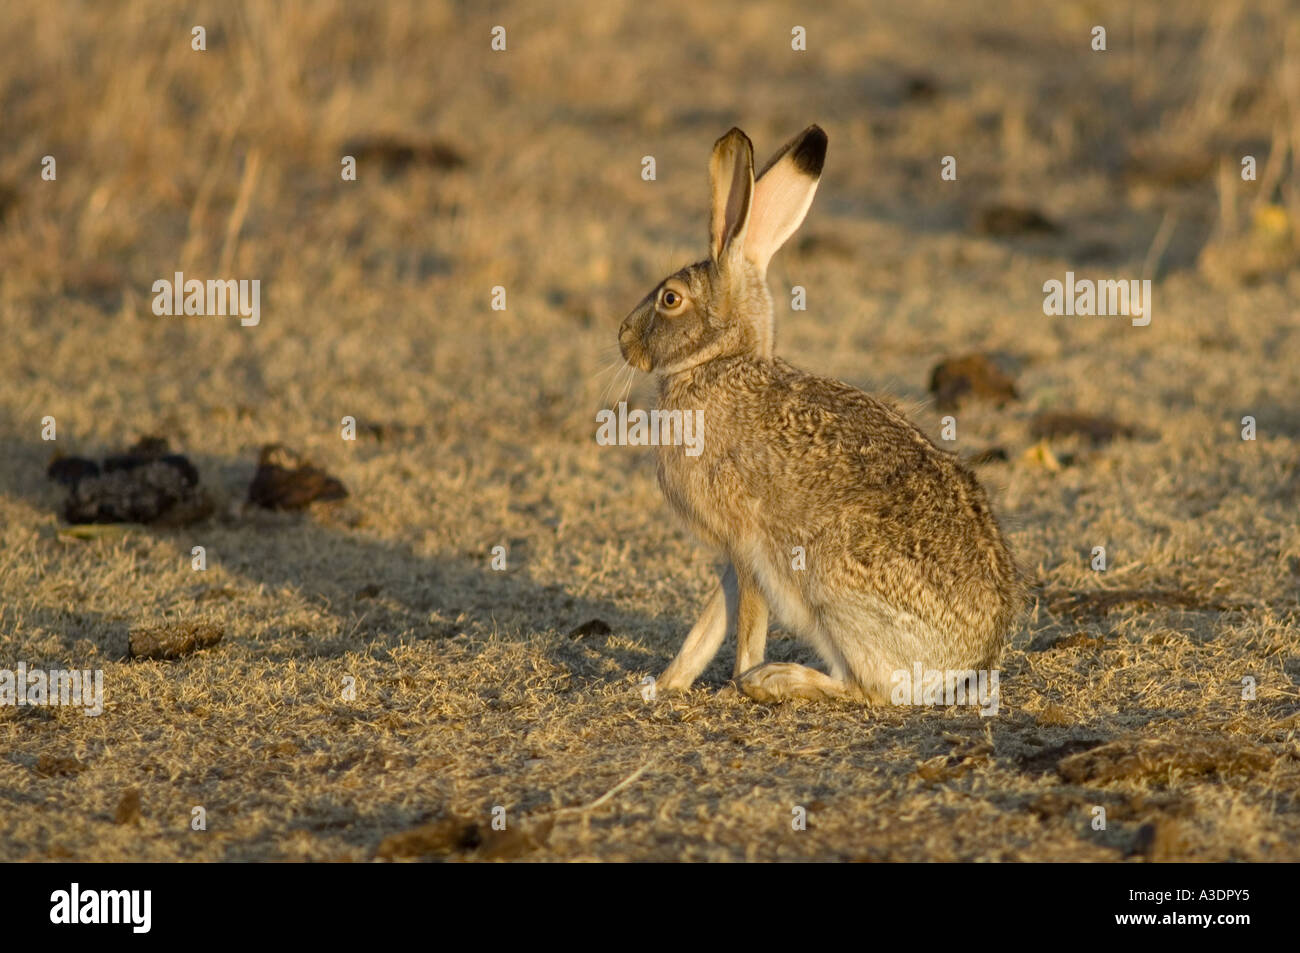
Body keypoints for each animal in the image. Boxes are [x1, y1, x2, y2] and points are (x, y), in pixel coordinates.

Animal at [617, 124, 1023, 704]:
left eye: (670, 299)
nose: (623, 340)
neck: (720, 364)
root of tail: (968, 665)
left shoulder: (747, 541)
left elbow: (747, 618)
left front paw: (738, 679)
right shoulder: (734, 551)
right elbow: (715, 614)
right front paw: (668, 684)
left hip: (830, 582)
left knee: (869, 690)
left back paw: (773, 680)